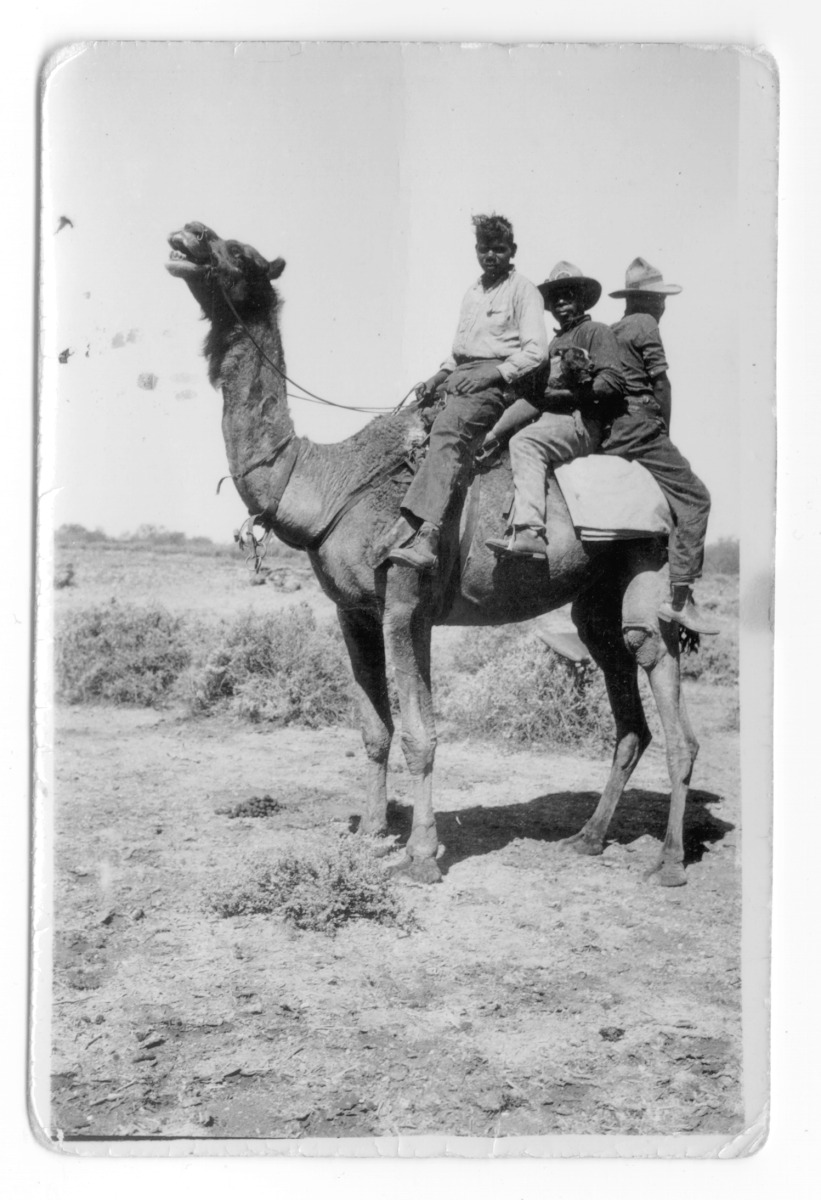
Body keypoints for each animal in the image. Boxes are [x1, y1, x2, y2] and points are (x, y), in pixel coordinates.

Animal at [166, 221, 701, 887]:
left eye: (238, 253)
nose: (188, 234)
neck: (327, 483)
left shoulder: (404, 601)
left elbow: (420, 734)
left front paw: (422, 854)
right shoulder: (356, 612)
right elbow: (375, 728)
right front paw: (370, 835)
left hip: (647, 558)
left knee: (658, 673)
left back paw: (670, 860)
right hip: (592, 598)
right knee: (625, 711)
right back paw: (588, 837)